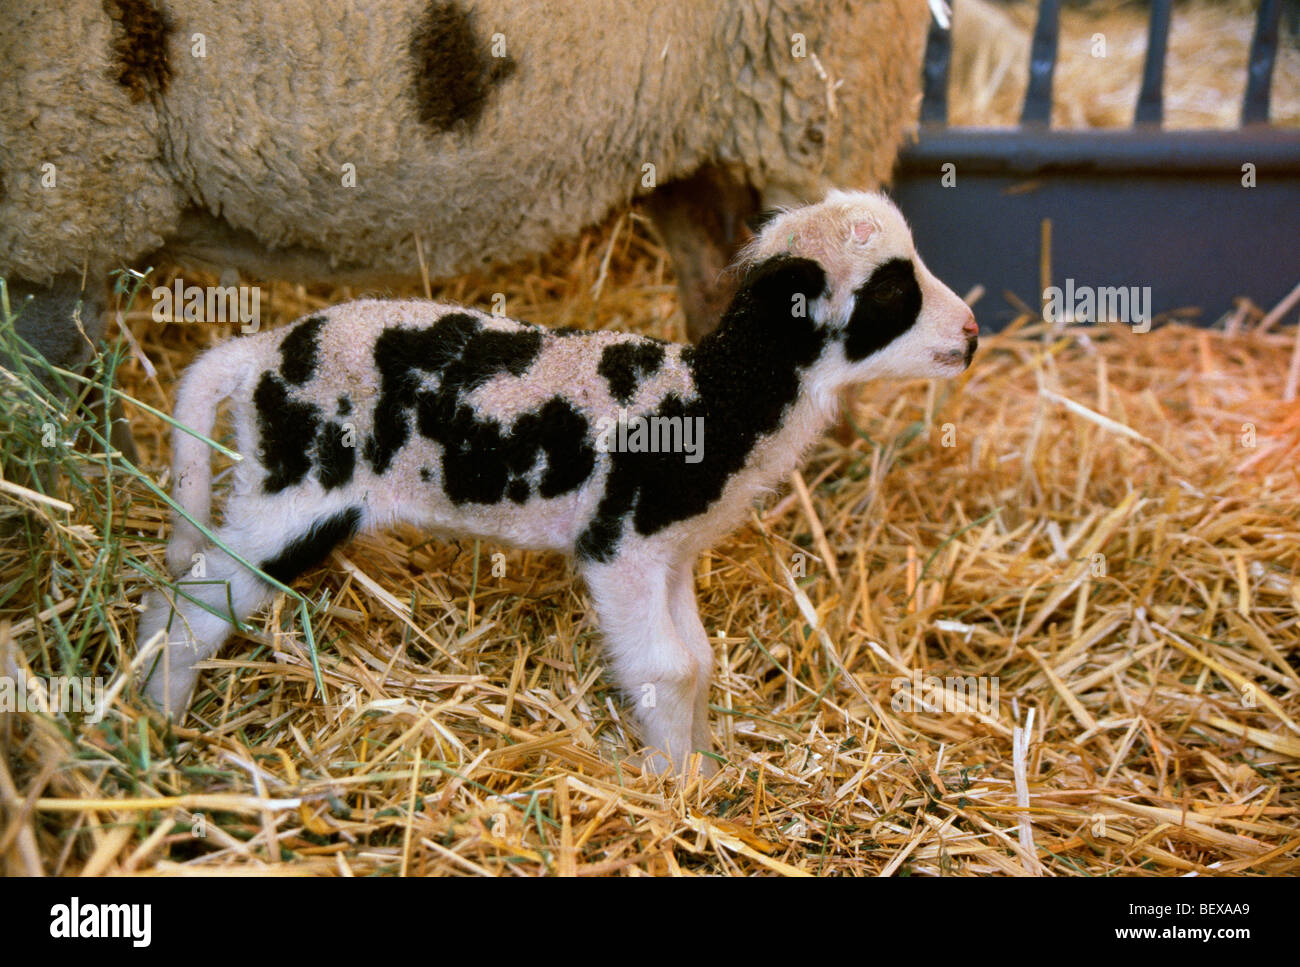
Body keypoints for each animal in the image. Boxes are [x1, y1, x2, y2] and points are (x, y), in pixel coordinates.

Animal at [137, 189, 978, 774]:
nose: (971, 334)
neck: (714, 396)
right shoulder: (620, 547)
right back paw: (158, 714)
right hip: (293, 499)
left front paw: (707, 772)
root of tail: (258, 355)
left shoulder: (670, 554)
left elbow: (699, 659)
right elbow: (668, 667)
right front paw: (673, 783)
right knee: (191, 599)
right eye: (892, 292)